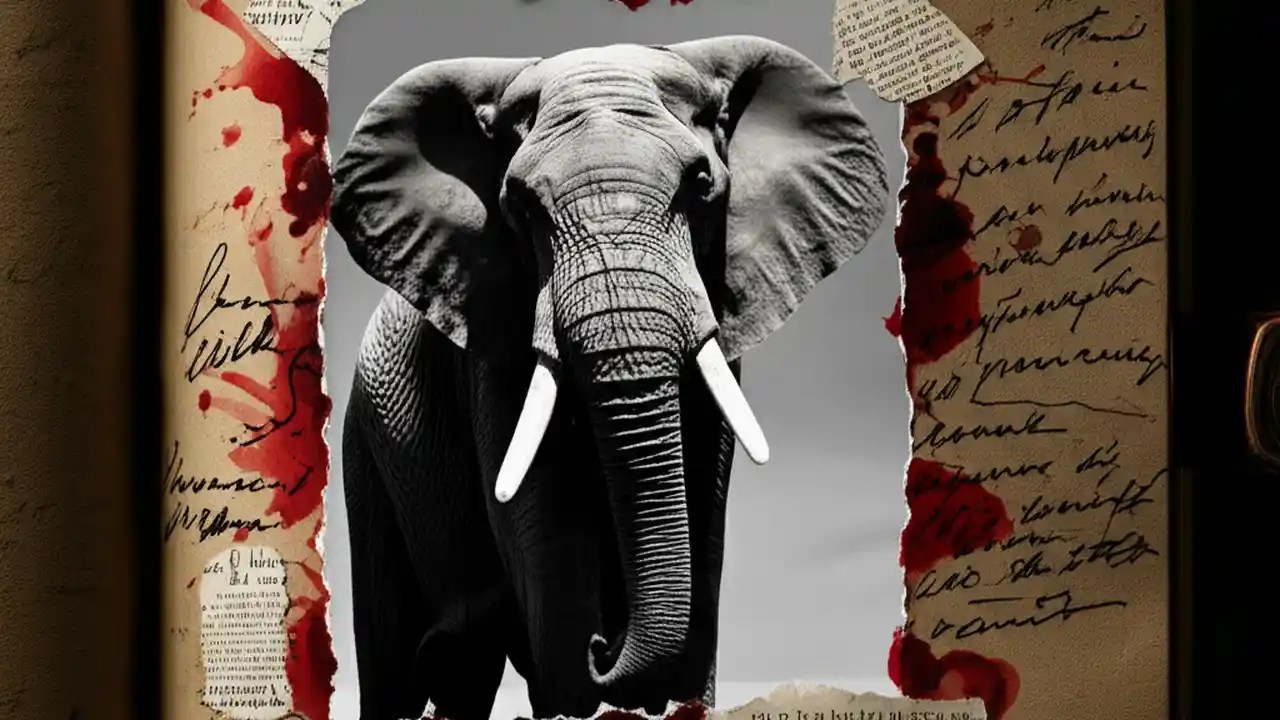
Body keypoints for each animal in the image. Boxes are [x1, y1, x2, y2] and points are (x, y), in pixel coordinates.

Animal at [329, 35, 889, 720]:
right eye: (520, 206)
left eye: (701, 183)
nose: (605, 644)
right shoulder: (494, 353)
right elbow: (552, 546)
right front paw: (581, 673)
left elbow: (702, 532)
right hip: (366, 454)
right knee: (395, 671)